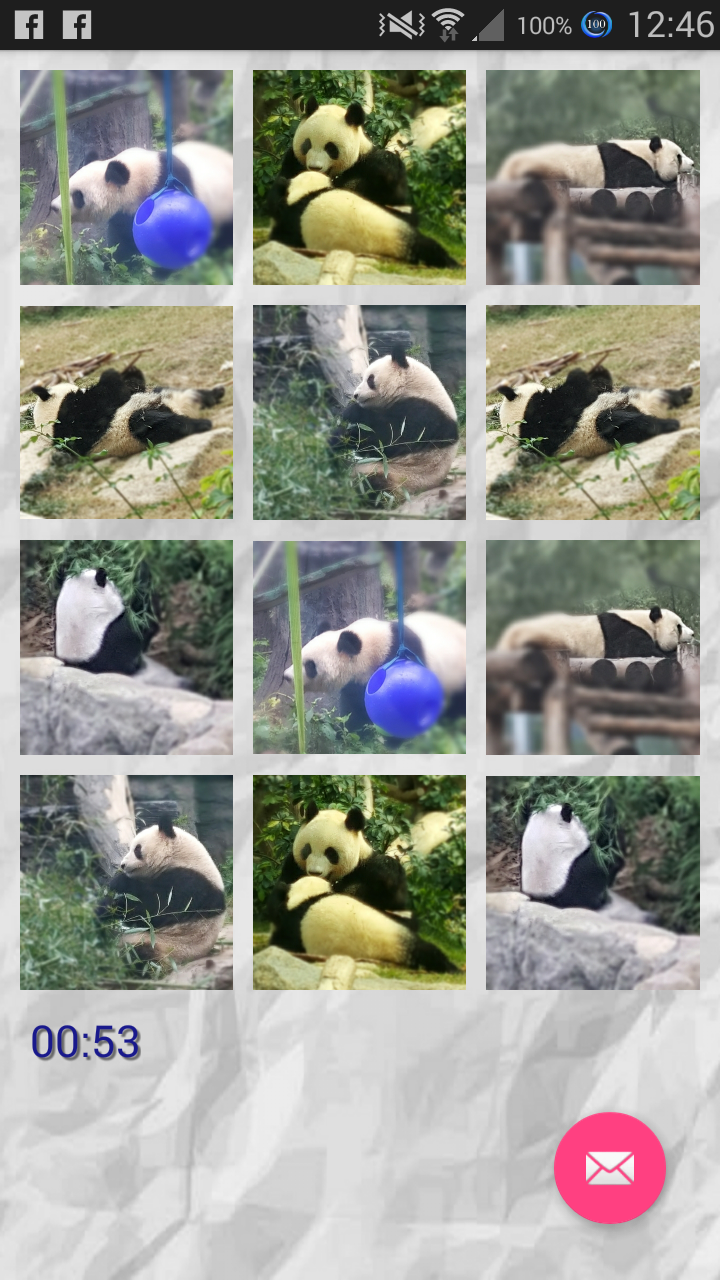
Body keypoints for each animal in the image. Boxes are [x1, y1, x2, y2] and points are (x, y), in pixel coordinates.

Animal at [31, 366, 224, 458]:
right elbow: (108, 394)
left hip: (160, 395)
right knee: (151, 423)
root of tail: (179, 407)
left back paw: (217, 393)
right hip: (135, 430)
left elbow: (130, 388)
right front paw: (114, 373)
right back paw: (202, 424)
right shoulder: (76, 419)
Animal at [97, 813, 226, 966]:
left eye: (137, 849)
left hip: (164, 948)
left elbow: (155, 910)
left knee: (138, 955)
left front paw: (119, 883)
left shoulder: (191, 885)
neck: (181, 858)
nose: (123, 865)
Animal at [332, 345, 459, 494]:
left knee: (372, 484)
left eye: (370, 379)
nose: (356, 395)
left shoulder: (424, 415)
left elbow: (387, 440)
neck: (413, 388)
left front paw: (351, 413)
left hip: (397, 477)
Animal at [497, 365, 688, 458]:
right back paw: (670, 424)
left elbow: (597, 388)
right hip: (602, 431)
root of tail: (646, 407)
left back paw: (684, 393)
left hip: (628, 395)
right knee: (618, 423)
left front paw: (598, 370)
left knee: (639, 392)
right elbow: (575, 394)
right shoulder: (542, 419)